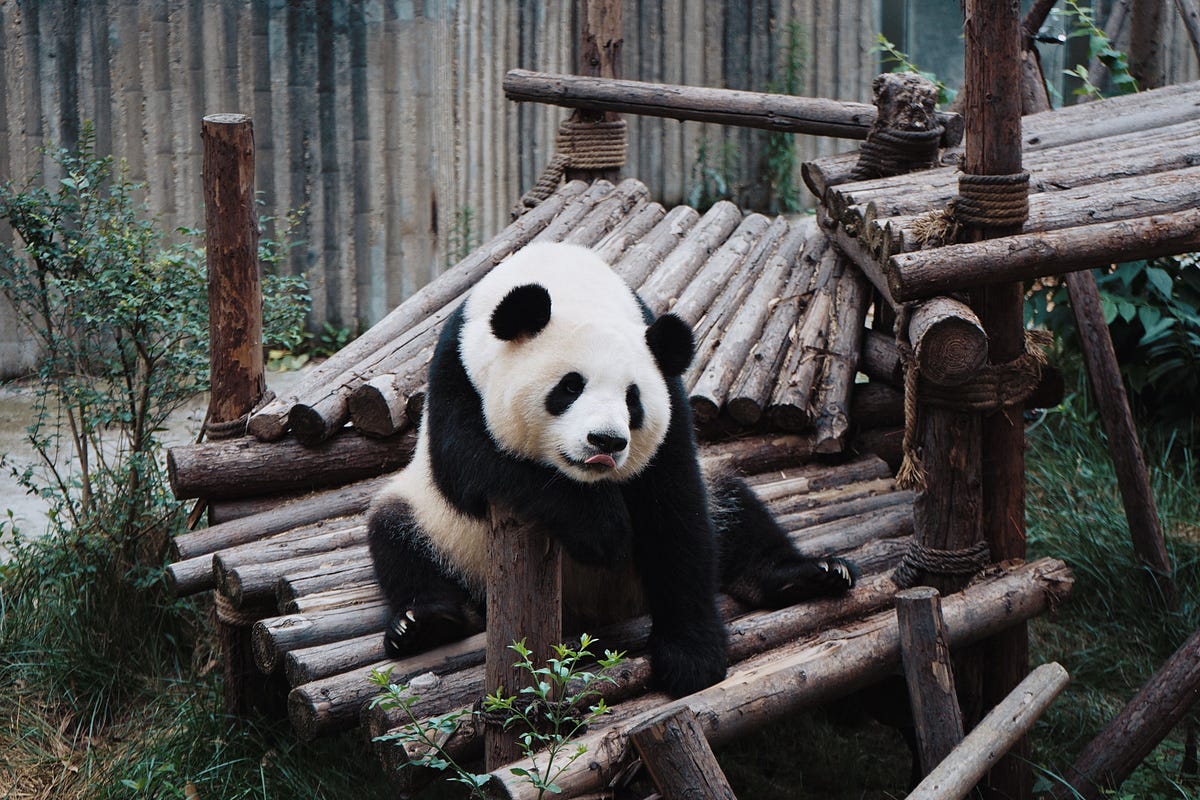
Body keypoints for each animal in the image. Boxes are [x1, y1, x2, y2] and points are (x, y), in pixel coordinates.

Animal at [367, 241, 855, 698]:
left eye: (632, 399)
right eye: (569, 387)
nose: (606, 442)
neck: (565, 278)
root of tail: (594, 610)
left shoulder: (670, 396)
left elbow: (676, 508)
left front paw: (691, 656)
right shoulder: (457, 371)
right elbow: (473, 465)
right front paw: (601, 528)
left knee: (736, 510)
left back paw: (807, 575)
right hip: (442, 529)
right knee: (396, 535)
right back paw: (423, 623)